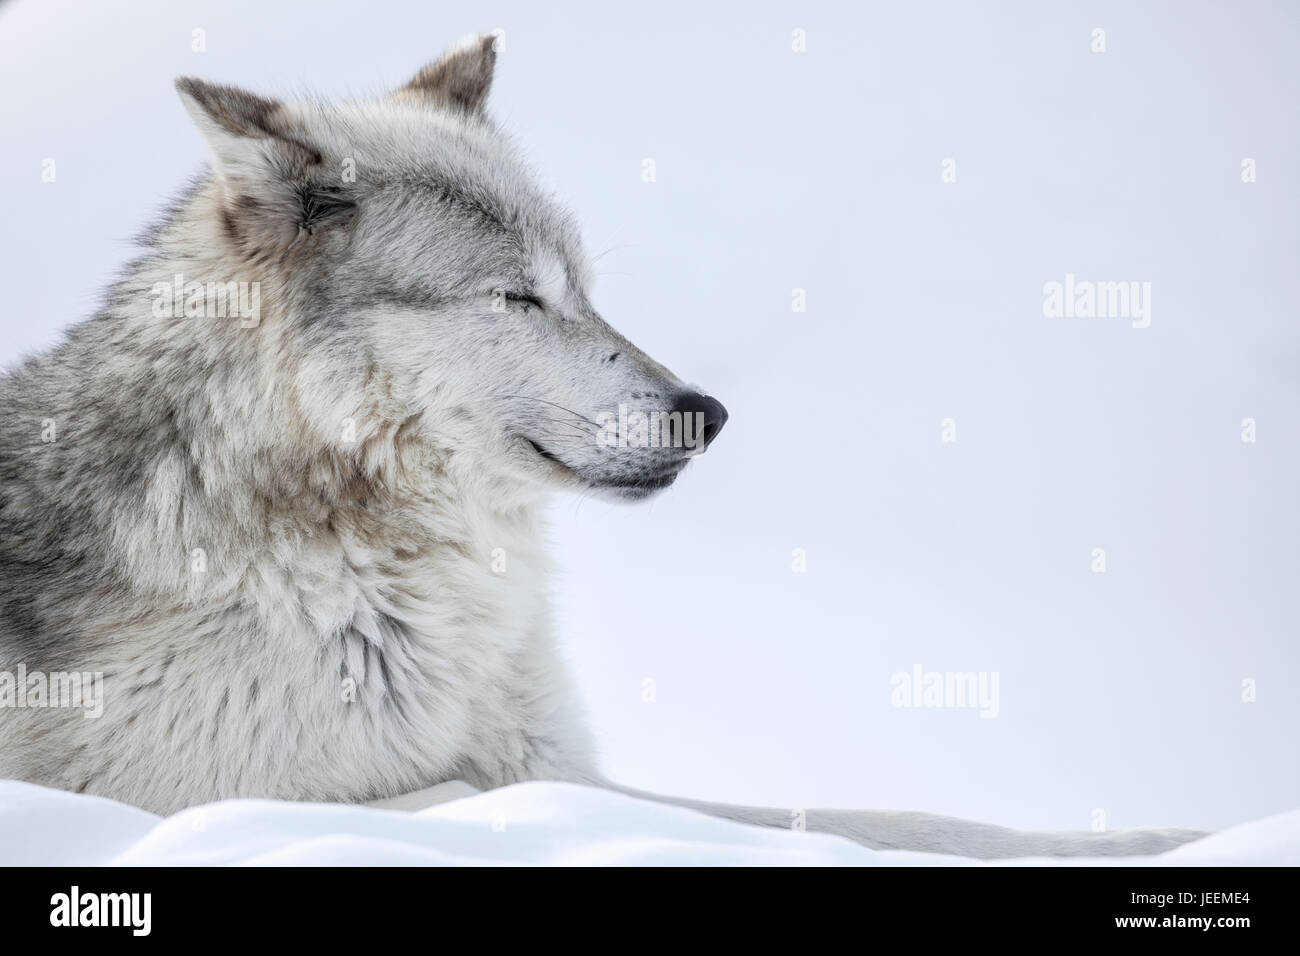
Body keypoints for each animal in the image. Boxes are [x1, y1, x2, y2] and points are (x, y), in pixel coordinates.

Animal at [0, 35, 1203, 859]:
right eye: (517, 297)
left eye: (582, 289)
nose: (703, 413)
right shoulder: (209, 799)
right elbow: (472, 800)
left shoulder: (551, 758)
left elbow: (879, 815)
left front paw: (1153, 840)